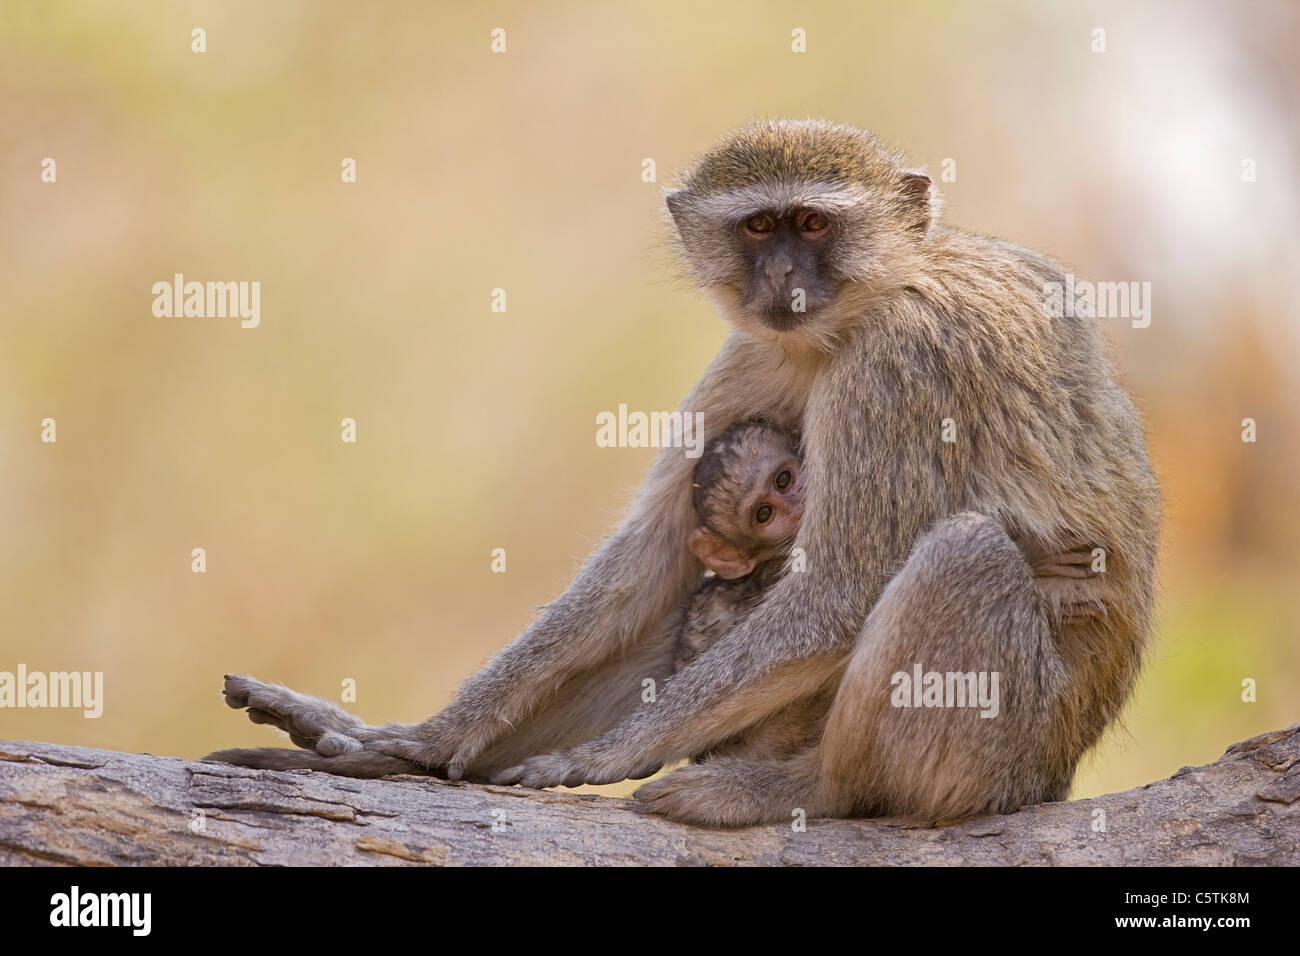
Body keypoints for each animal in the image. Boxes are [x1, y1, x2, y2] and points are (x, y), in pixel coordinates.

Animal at [210, 119, 1160, 829]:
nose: (783, 278)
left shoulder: (902, 365)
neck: (869, 304)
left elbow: (841, 588)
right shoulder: (755, 352)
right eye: (758, 228)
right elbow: (654, 554)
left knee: (963, 554)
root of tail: (1055, 774)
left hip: (1006, 753)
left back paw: (806, 791)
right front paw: (422, 738)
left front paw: (604, 755)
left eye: (813, 225)